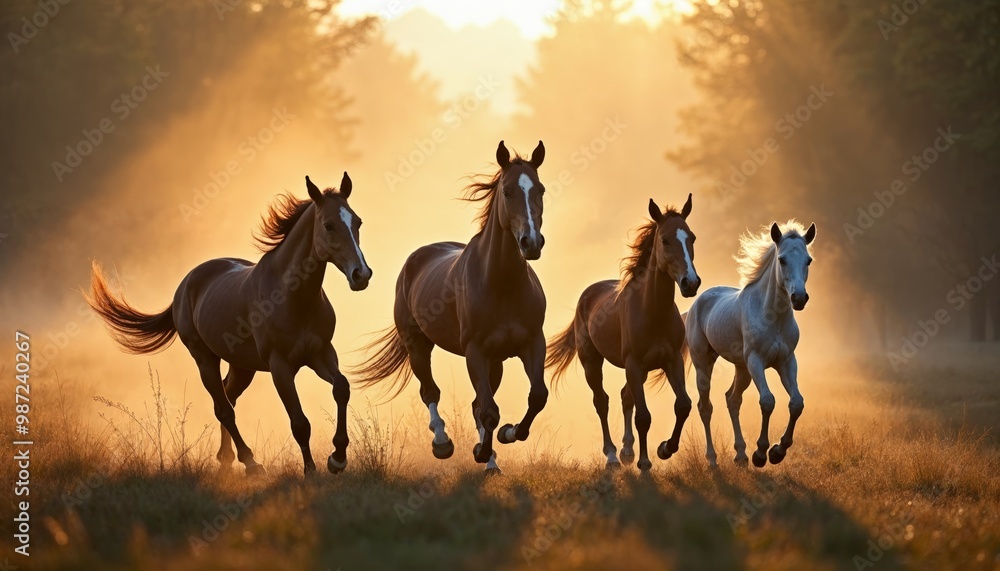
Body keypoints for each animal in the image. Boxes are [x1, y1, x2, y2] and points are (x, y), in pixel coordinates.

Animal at [86, 172, 372, 476]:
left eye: (357, 222)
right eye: (328, 225)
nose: (361, 274)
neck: (292, 297)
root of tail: (186, 283)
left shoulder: (321, 354)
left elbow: (341, 387)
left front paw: (337, 458)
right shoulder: (280, 366)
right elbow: (299, 422)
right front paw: (311, 471)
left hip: (242, 365)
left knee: (229, 398)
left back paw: (227, 458)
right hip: (204, 358)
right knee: (223, 408)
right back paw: (251, 462)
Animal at [353, 140, 548, 475]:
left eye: (541, 190)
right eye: (507, 191)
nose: (531, 242)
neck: (502, 283)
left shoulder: (532, 343)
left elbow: (535, 398)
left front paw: (507, 435)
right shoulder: (474, 351)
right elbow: (489, 412)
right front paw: (482, 451)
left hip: (495, 360)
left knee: (477, 404)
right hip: (418, 346)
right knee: (431, 392)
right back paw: (443, 443)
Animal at [546, 195, 701, 470]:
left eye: (691, 237)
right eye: (665, 240)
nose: (690, 283)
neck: (653, 311)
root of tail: (586, 295)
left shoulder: (671, 361)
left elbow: (682, 405)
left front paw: (664, 449)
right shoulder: (634, 364)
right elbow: (644, 417)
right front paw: (645, 462)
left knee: (624, 397)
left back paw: (626, 451)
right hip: (592, 363)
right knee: (602, 402)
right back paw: (611, 456)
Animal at [684, 221, 816, 468]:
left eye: (808, 260)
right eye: (782, 259)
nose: (799, 298)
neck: (772, 317)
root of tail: (696, 303)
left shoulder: (786, 361)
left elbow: (796, 403)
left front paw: (777, 452)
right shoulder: (756, 361)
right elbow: (767, 401)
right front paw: (761, 453)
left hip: (742, 368)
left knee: (732, 400)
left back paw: (741, 454)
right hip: (704, 365)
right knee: (705, 408)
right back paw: (713, 459)